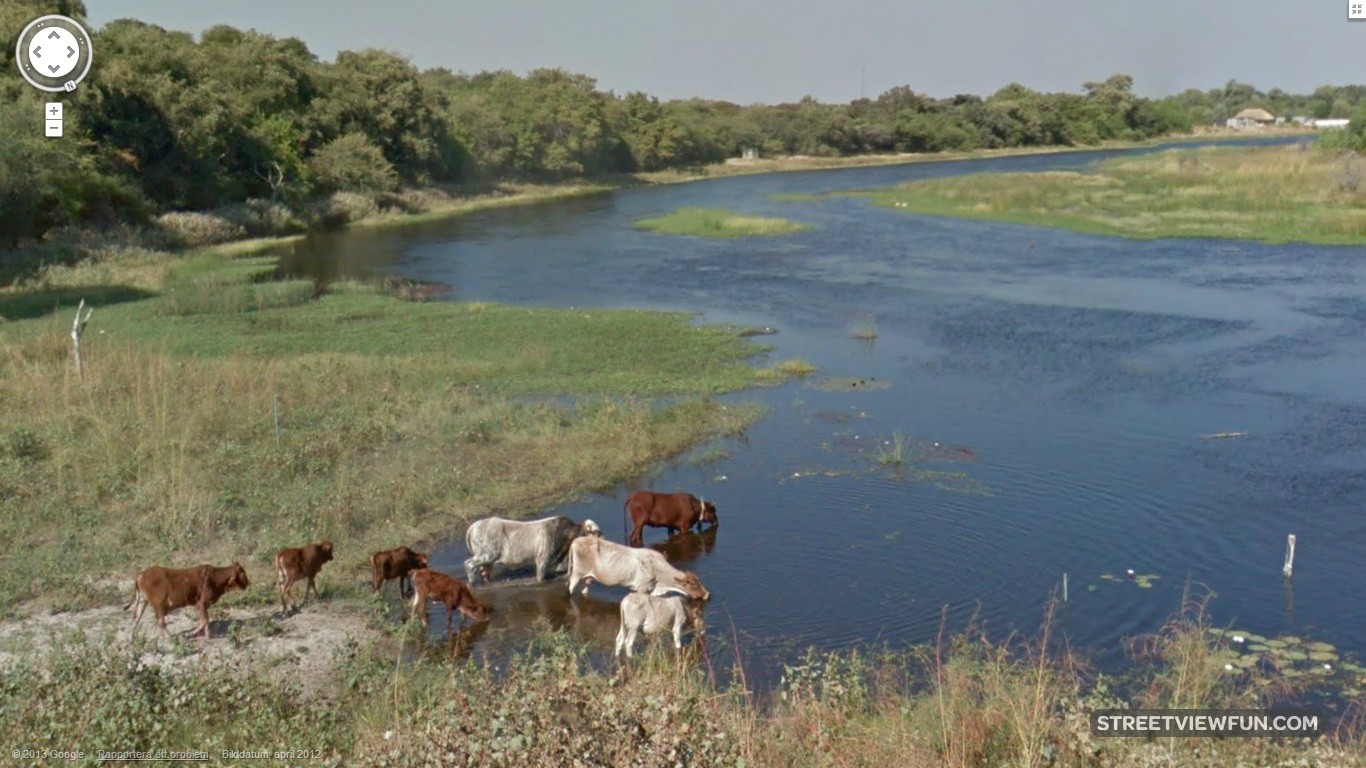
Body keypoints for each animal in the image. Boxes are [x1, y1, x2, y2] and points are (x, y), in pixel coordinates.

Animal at [464, 516, 601, 584]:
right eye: (595, 533)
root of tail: (473, 526)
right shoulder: (543, 559)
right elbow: (540, 578)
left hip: (487, 560)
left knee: (484, 572)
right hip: (488, 555)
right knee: (468, 564)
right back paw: (471, 582)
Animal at [567, 534, 710, 601]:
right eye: (694, 584)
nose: (707, 594)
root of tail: (577, 540)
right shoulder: (641, 589)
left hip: (588, 576)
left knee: (585, 588)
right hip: (577, 573)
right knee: (570, 588)